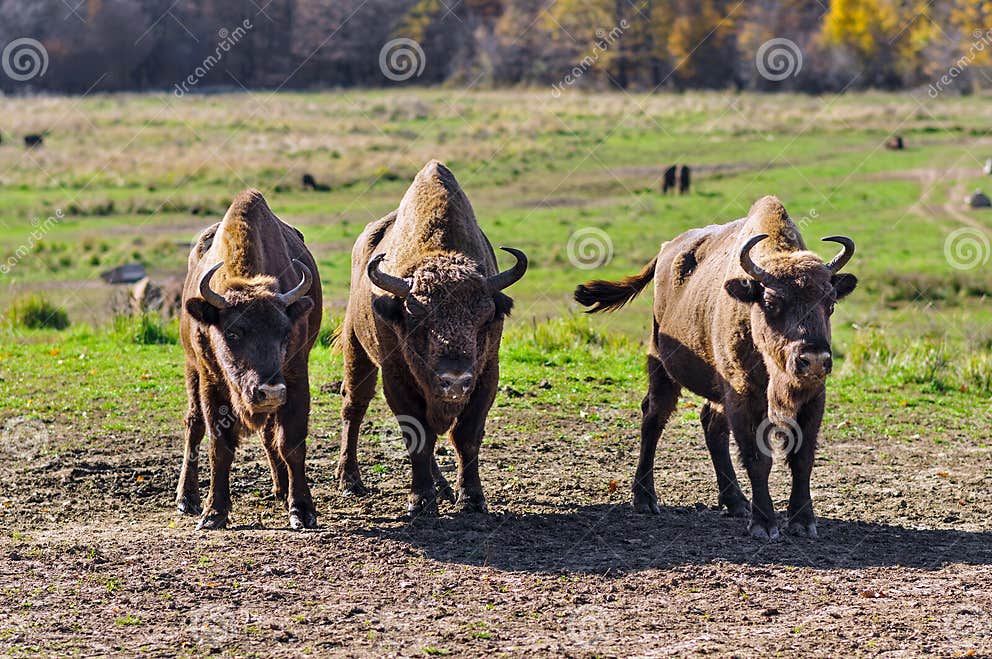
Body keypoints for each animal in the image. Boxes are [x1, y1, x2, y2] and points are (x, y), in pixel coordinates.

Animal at [177, 189, 322, 530]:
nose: (269, 392)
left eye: (285, 332)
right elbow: (219, 446)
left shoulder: (295, 378)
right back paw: (186, 499)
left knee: (270, 434)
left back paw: (281, 489)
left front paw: (301, 509)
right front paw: (213, 513)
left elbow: (291, 443)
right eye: (232, 332)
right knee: (194, 424)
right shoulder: (211, 381)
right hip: (191, 370)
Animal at [335, 160, 527, 516]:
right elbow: (418, 436)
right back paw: (349, 481)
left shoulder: (487, 373)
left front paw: (471, 498)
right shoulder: (396, 377)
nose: (455, 381)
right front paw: (420, 501)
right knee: (353, 407)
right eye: (417, 317)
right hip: (357, 350)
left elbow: (466, 436)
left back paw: (443, 488)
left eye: (485, 317)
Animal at [575, 196, 856, 541]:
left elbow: (802, 457)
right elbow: (758, 459)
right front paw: (764, 524)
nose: (813, 359)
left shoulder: (813, 396)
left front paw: (803, 521)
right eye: (772, 302)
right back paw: (645, 499)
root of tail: (666, 249)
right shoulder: (743, 396)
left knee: (711, 425)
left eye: (830, 303)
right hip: (662, 366)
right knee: (653, 417)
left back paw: (735, 502)